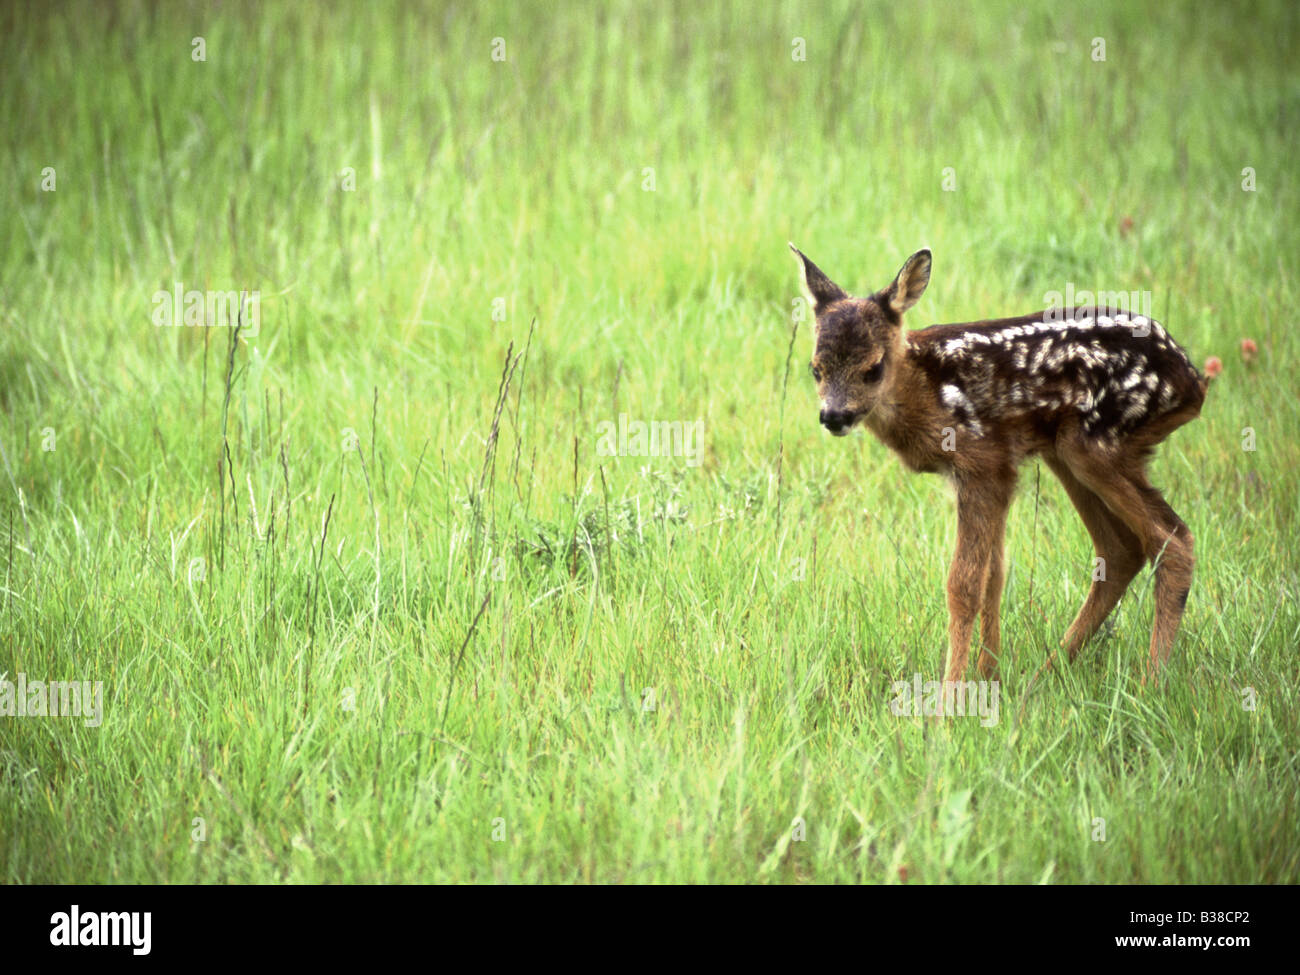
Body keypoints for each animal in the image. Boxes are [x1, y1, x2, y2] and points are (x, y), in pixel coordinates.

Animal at [790, 244, 1208, 686]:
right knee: (1120, 549)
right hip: (1066, 450)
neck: (925, 391)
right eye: (815, 368)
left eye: (873, 369)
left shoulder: (981, 460)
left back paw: (1150, 683)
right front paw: (988, 675)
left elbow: (964, 585)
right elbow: (995, 573)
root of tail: (1192, 382)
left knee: (1173, 539)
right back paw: (1046, 674)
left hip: (1098, 442)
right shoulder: (1003, 470)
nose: (834, 416)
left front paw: (951, 696)